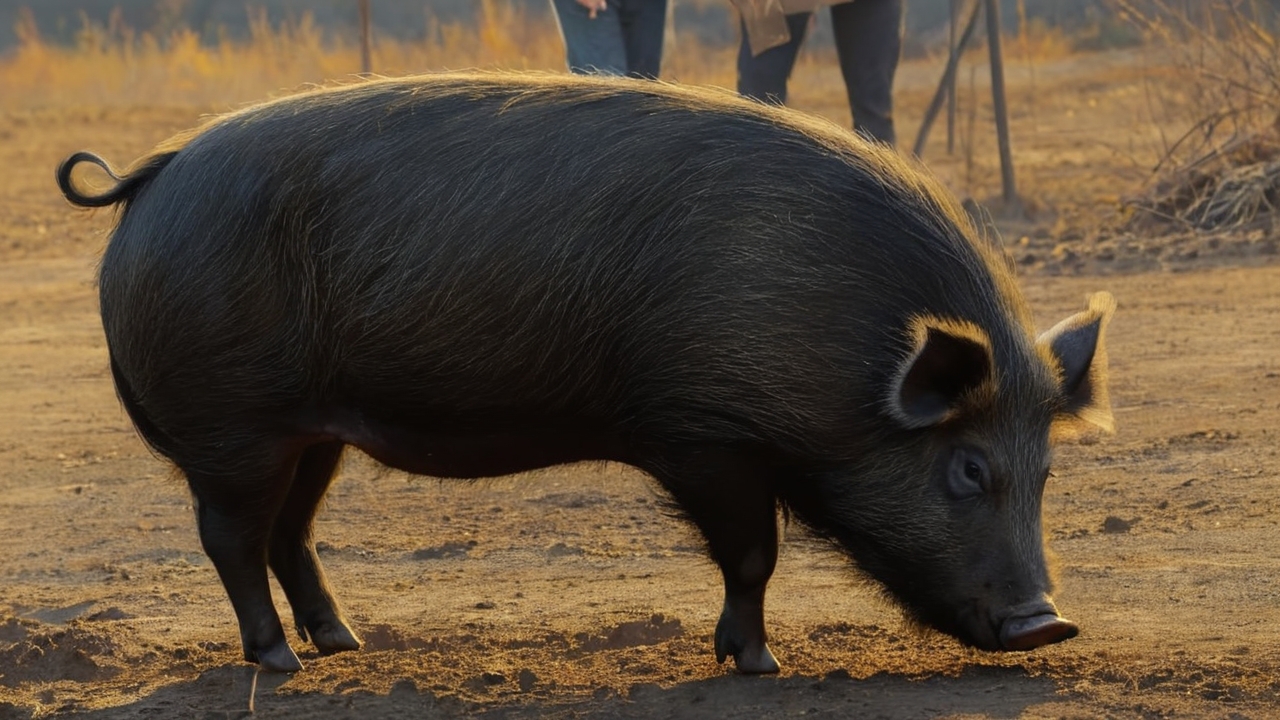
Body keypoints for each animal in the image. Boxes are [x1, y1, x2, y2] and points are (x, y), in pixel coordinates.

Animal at [57, 72, 1115, 675]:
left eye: (1048, 472)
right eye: (969, 468)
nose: (1050, 624)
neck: (843, 342)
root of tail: (154, 172)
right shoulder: (700, 432)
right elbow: (754, 553)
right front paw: (758, 666)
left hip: (313, 431)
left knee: (291, 534)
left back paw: (345, 645)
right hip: (232, 426)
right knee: (232, 540)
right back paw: (280, 664)